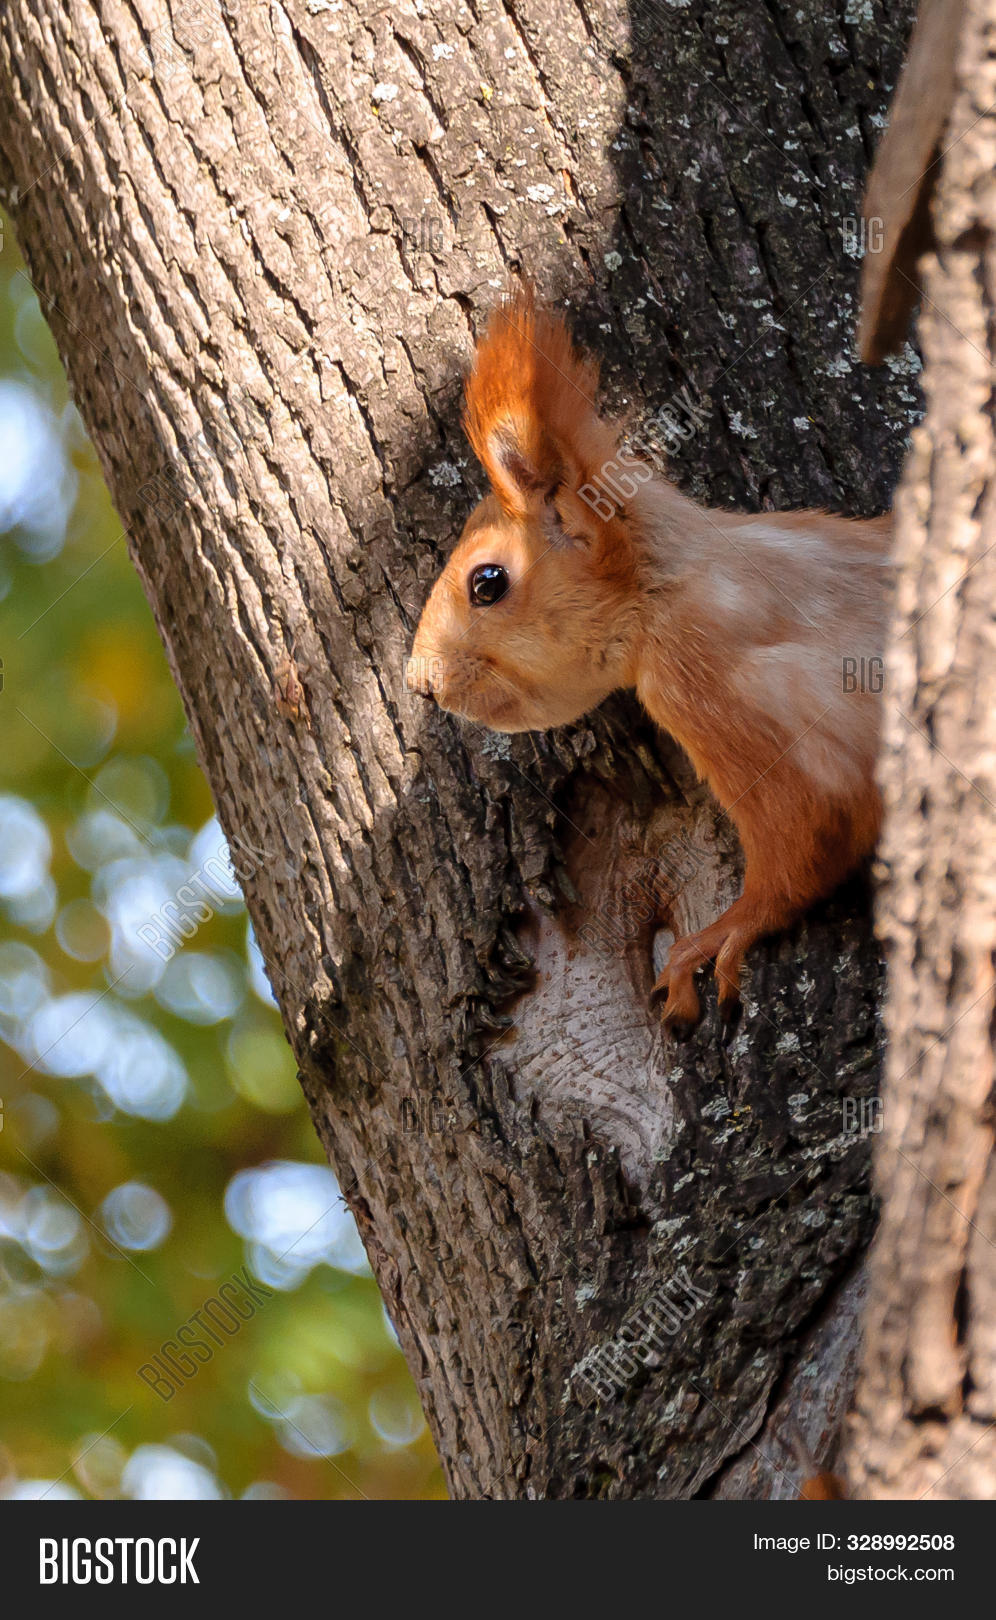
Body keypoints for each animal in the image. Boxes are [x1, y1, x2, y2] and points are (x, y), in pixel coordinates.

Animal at [408, 289, 891, 1031]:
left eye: (487, 584)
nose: (421, 684)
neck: (668, 584)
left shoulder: (715, 682)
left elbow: (814, 826)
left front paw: (725, 931)